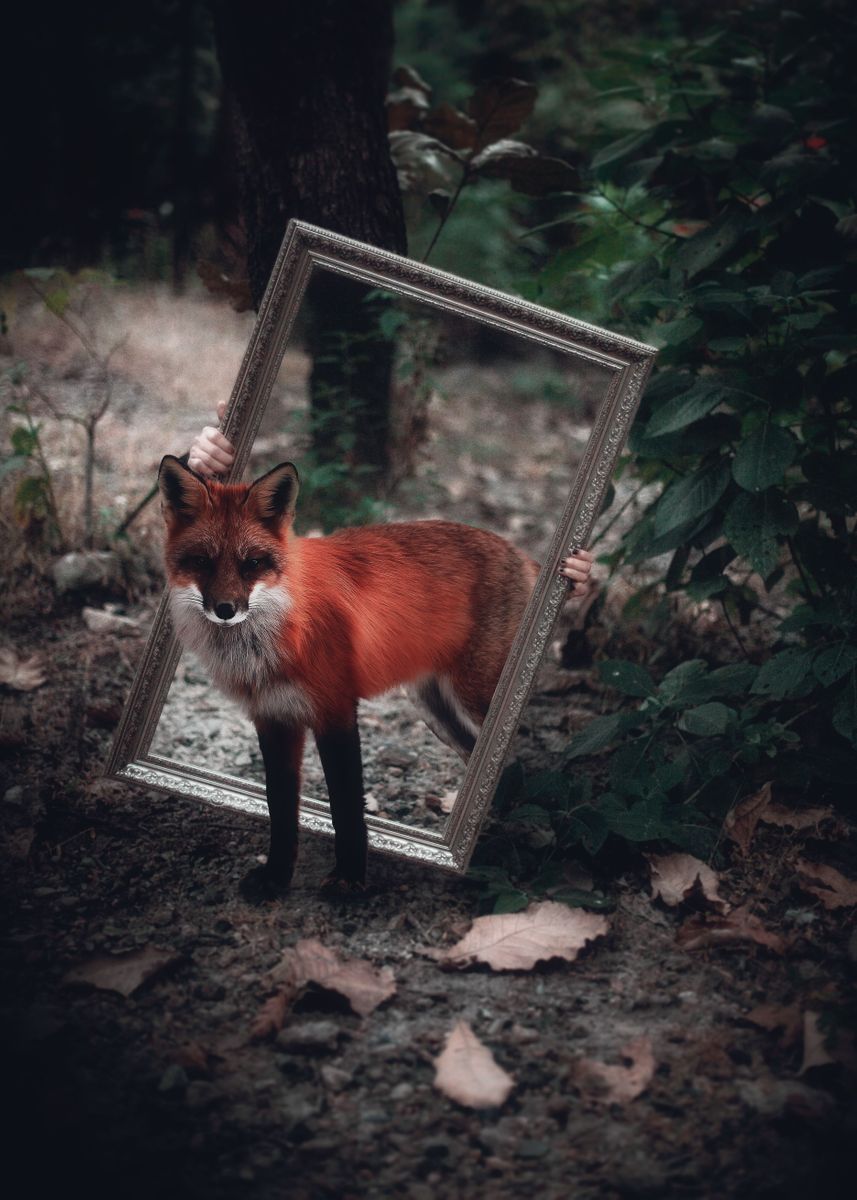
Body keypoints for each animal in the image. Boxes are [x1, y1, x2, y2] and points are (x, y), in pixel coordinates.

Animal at [158, 452, 592, 899]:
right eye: (202, 561)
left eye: (252, 564)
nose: (225, 610)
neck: (272, 639)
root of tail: (522, 555)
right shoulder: (274, 718)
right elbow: (279, 807)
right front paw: (276, 877)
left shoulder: (335, 711)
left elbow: (346, 806)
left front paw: (348, 879)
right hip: (436, 710)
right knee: (488, 764)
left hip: (477, 698)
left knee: (515, 756)